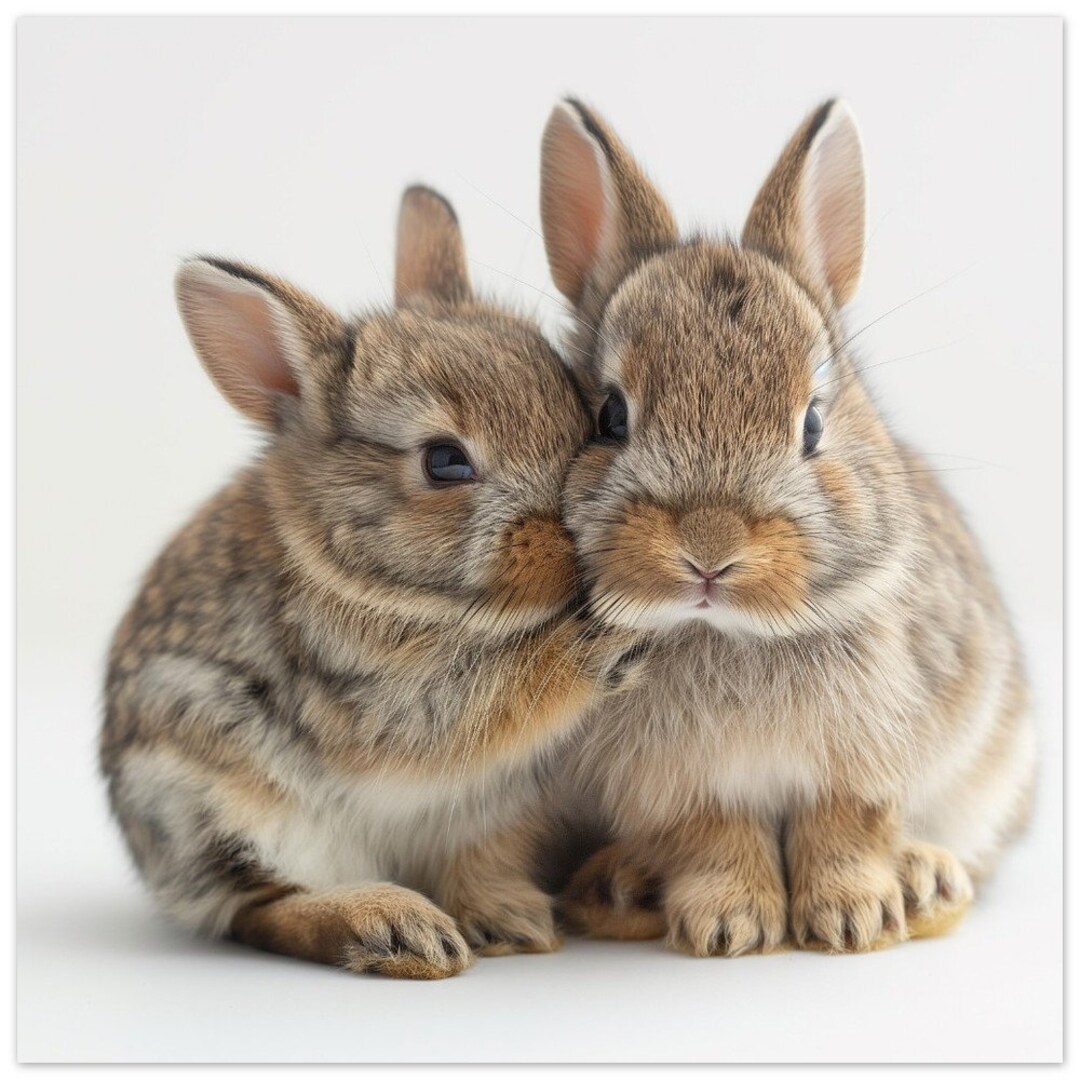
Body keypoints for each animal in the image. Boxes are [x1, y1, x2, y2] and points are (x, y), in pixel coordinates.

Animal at [100, 185, 644, 979]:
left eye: (579, 407)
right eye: (444, 461)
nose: (577, 545)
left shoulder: (501, 811)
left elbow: (483, 858)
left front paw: (510, 919)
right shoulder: (364, 697)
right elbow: (484, 707)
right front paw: (604, 641)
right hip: (205, 797)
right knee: (258, 909)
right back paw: (396, 929)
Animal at [536, 98, 1035, 956]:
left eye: (812, 424)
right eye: (610, 417)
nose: (709, 549)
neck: (728, 632)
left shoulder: (863, 769)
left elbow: (845, 832)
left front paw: (855, 919)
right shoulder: (682, 788)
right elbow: (713, 839)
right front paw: (732, 926)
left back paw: (926, 880)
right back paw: (620, 888)